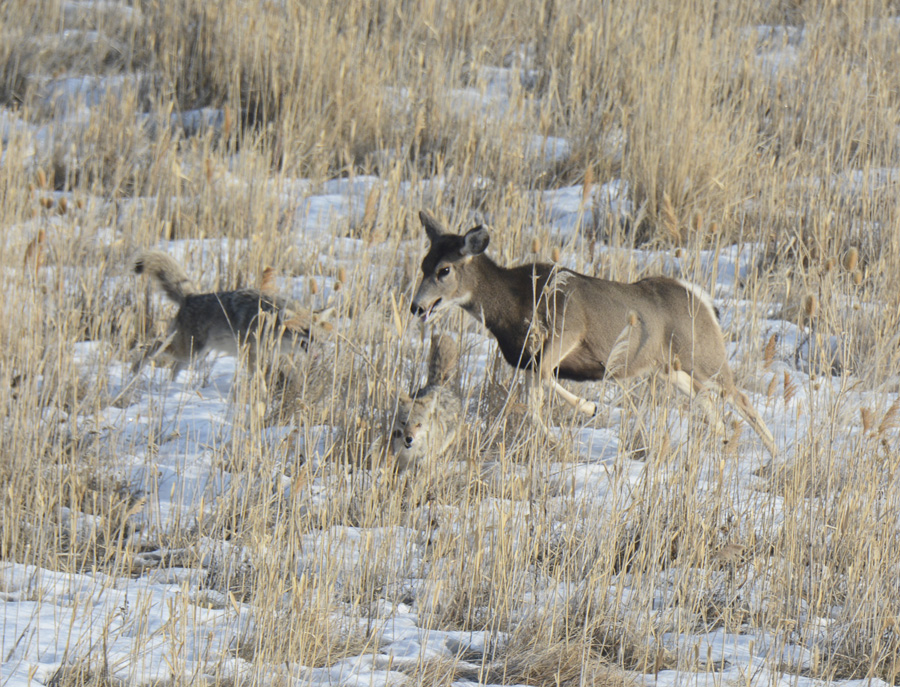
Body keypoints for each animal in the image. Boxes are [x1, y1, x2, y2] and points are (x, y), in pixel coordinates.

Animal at [409, 210, 777, 457]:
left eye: (444, 270)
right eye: (423, 264)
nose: (416, 306)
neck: (514, 302)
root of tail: (701, 300)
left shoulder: (567, 331)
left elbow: (543, 385)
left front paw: (588, 408)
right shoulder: (528, 360)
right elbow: (533, 401)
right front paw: (562, 436)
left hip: (702, 357)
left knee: (741, 399)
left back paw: (775, 455)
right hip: (669, 368)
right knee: (710, 404)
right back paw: (725, 444)